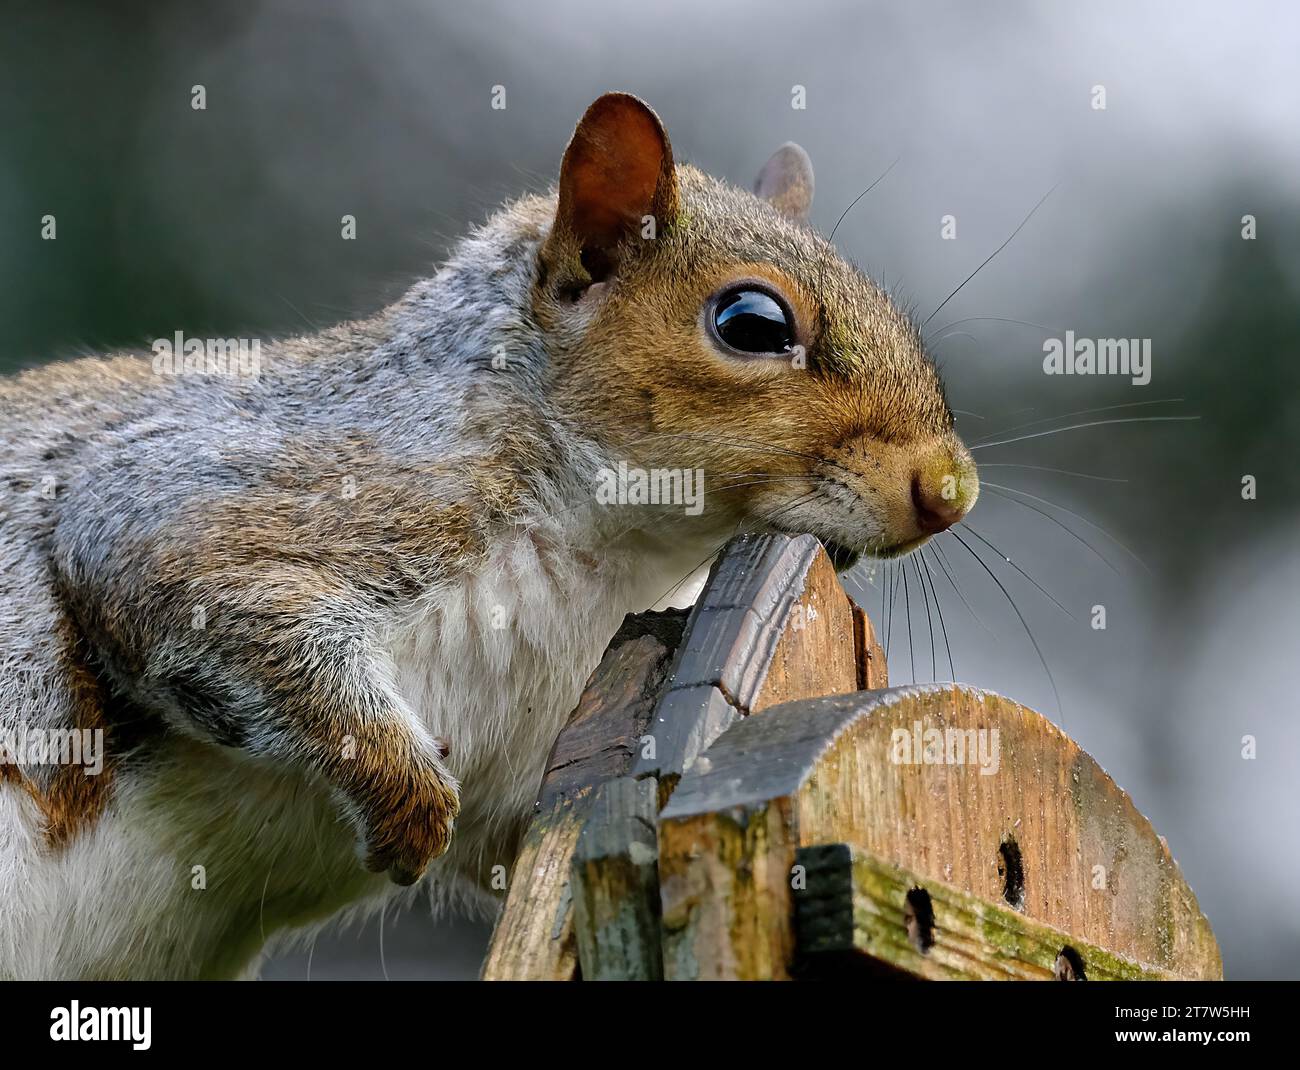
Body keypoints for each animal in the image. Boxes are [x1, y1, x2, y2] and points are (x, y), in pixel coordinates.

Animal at [0, 93, 977, 979]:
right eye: (751, 324)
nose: (949, 490)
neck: (609, 559)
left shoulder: (534, 777)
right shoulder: (247, 498)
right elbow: (199, 590)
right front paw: (404, 792)